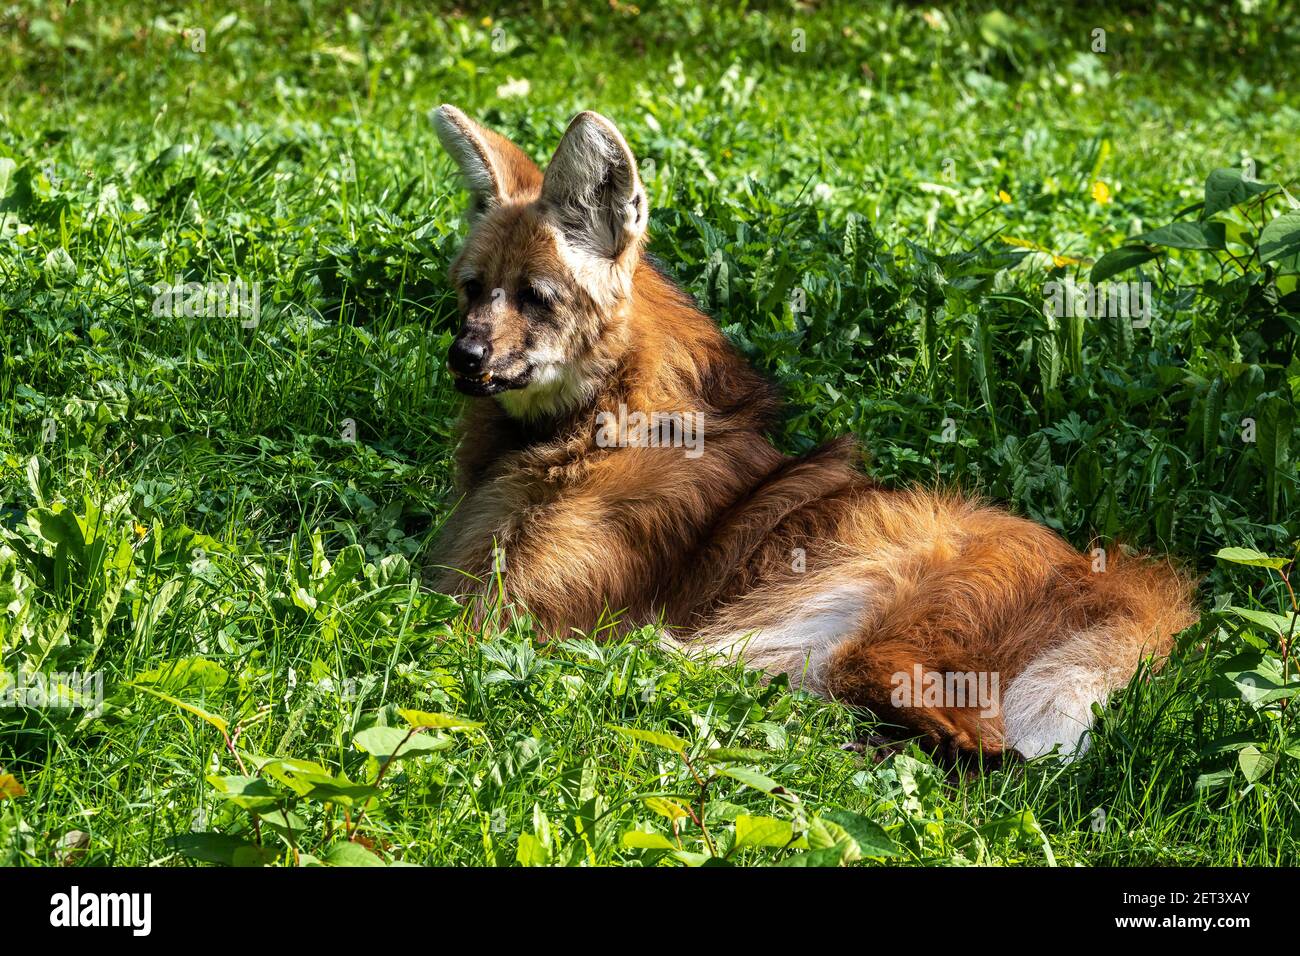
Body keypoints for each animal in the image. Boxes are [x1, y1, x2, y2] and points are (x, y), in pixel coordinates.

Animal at [425, 104, 1197, 761]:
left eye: (536, 297)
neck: (590, 424)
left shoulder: (505, 616)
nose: (464, 356)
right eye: (472, 288)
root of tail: (1126, 585)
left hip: (900, 595)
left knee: (983, 746)